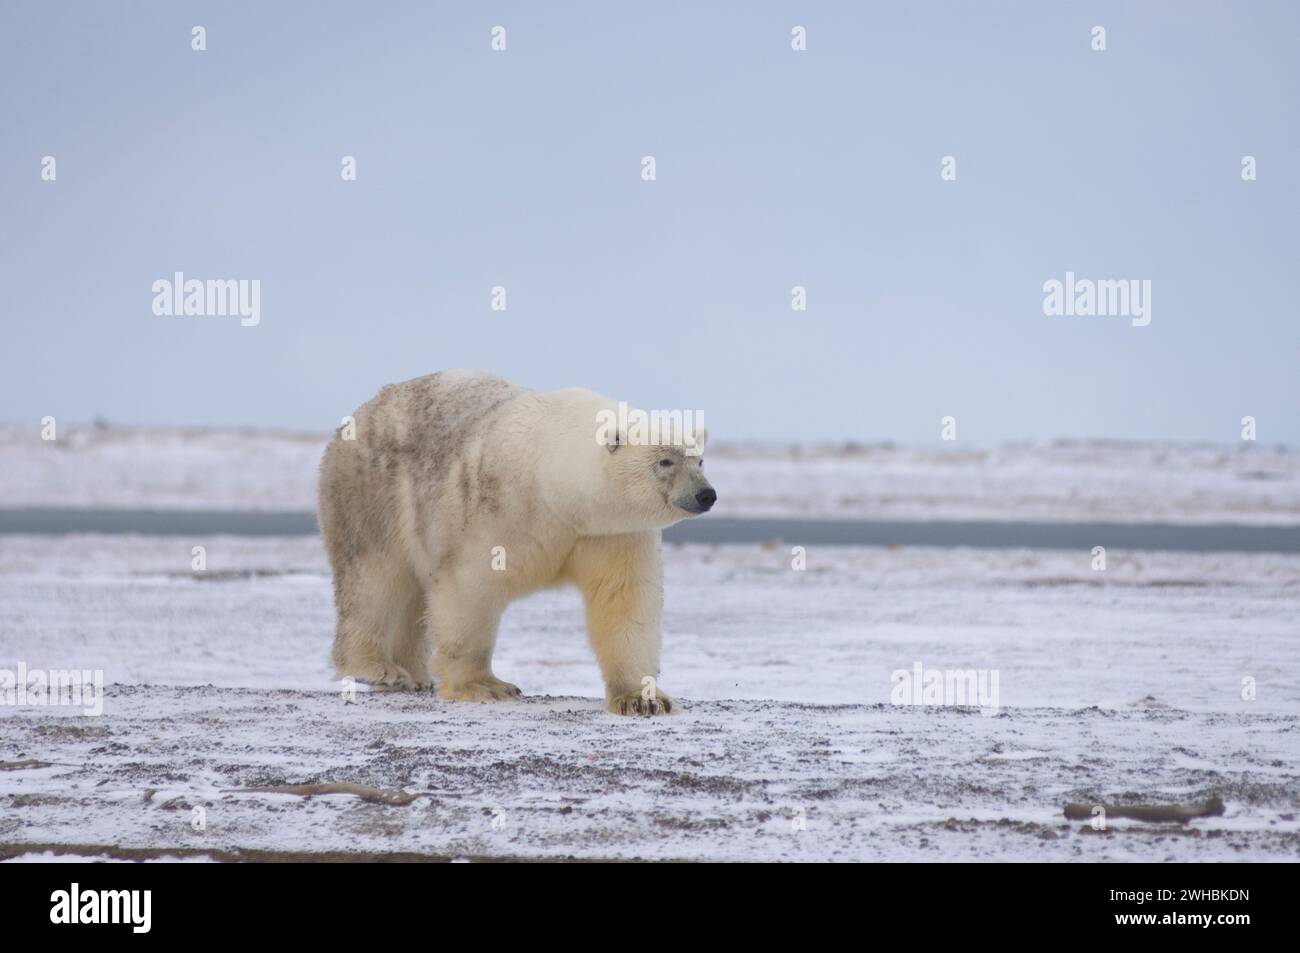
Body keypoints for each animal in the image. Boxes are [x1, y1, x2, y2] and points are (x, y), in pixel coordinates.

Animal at [318, 370, 715, 715]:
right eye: (665, 461)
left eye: (699, 460)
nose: (706, 495)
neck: (557, 487)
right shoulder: (498, 510)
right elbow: (468, 590)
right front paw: (484, 686)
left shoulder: (610, 532)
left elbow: (625, 601)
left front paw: (642, 698)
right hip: (372, 494)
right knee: (375, 579)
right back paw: (378, 668)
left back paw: (415, 675)